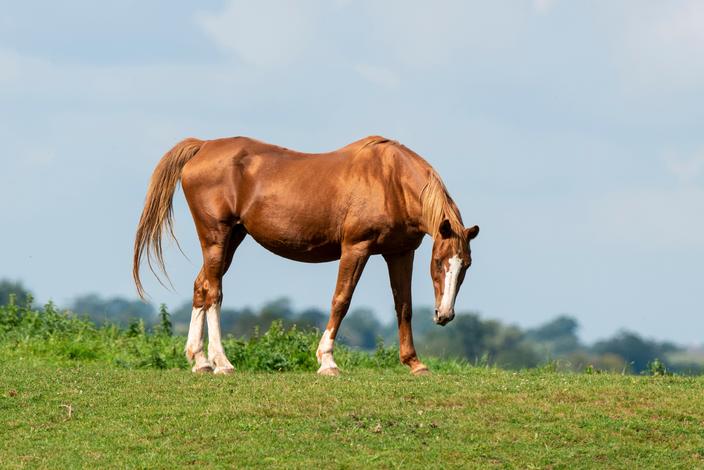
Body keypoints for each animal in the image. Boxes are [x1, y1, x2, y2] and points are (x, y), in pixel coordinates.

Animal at [133, 135, 479, 376]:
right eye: (439, 263)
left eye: (465, 266)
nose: (445, 315)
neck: (390, 181)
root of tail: (203, 147)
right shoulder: (356, 248)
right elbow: (341, 300)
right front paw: (327, 361)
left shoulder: (400, 252)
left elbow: (403, 306)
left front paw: (414, 363)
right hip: (216, 239)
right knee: (214, 293)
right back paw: (222, 361)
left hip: (232, 240)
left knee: (201, 287)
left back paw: (200, 360)